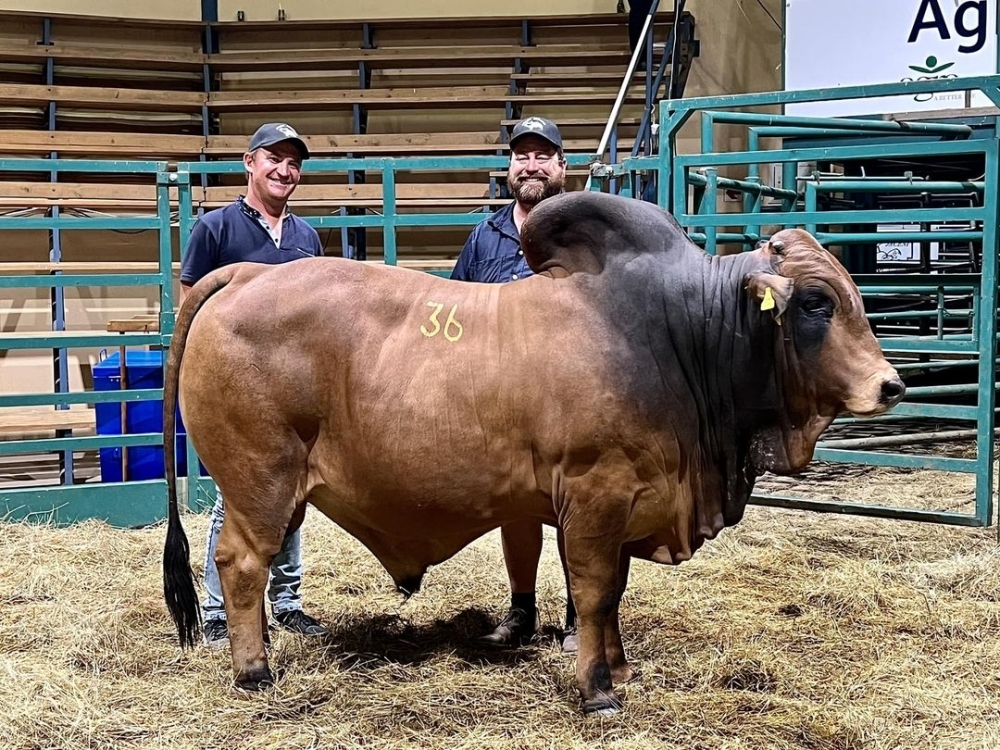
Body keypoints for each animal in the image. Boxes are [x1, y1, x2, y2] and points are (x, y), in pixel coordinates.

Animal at [163, 191, 904, 715]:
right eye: (816, 302)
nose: (890, 385)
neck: (681, 330)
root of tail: (244, 275)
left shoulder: (628, 503)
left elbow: (611, 596)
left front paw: (621, 667)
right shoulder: (597, 495)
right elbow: (596, 591)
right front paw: (598, 690)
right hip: (260, 480)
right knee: (240, 562)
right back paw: (254, 671)